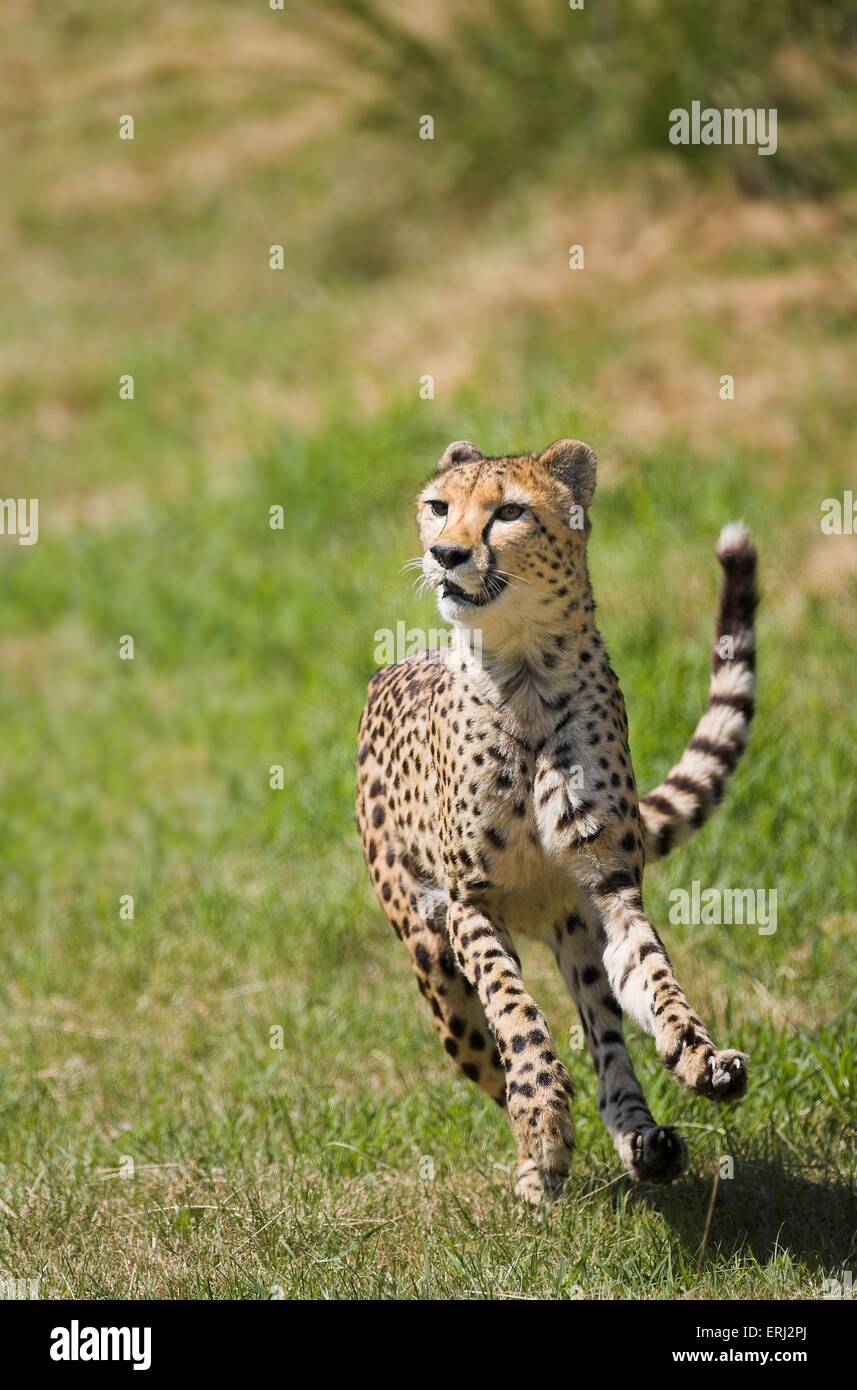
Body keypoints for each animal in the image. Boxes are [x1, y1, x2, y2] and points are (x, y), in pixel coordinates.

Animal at [356, 438, 758, 1203]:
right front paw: (541, 1112)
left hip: (575, 931)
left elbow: (655, 981)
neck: (524, 671)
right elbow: (514, 1013)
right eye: (439, 507)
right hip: (433, 968)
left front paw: (697, 1055)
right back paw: (535, 1160)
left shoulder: (610, 888)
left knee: (604, 1030)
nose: (447, 554)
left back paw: (642, 1138)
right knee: (488, 1054)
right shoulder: (469, 902)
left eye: (508, 512)